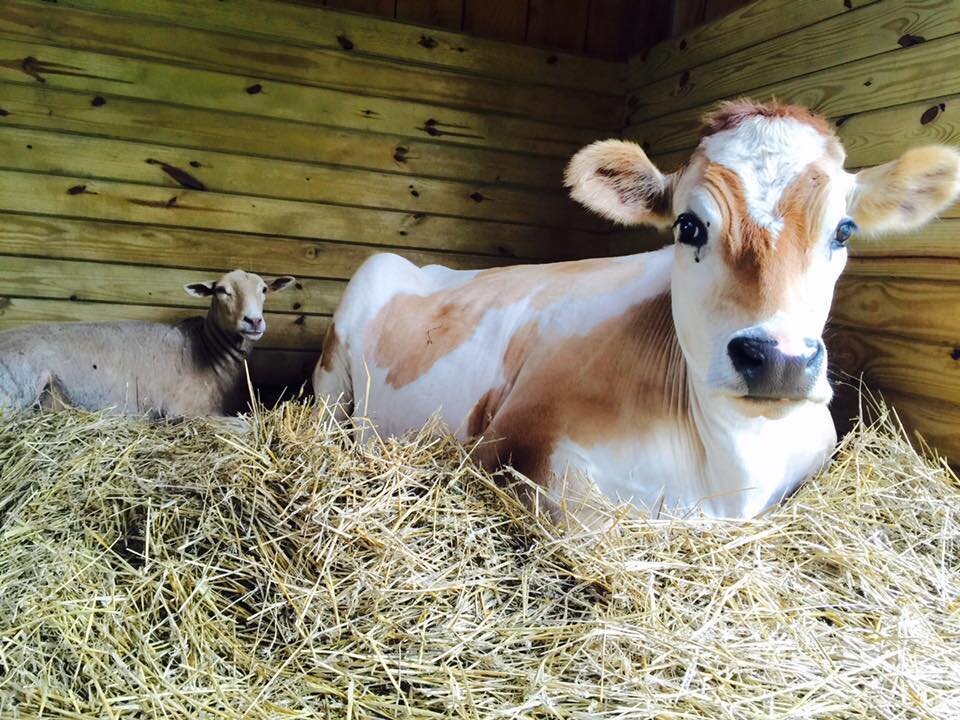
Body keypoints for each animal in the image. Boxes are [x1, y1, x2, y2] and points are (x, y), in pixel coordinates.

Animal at [312, 99, 960, 519]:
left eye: (844, 231)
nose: (778, 359)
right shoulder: (506, 446)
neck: (733, 470)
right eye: (689, 225)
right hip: (339, 358)